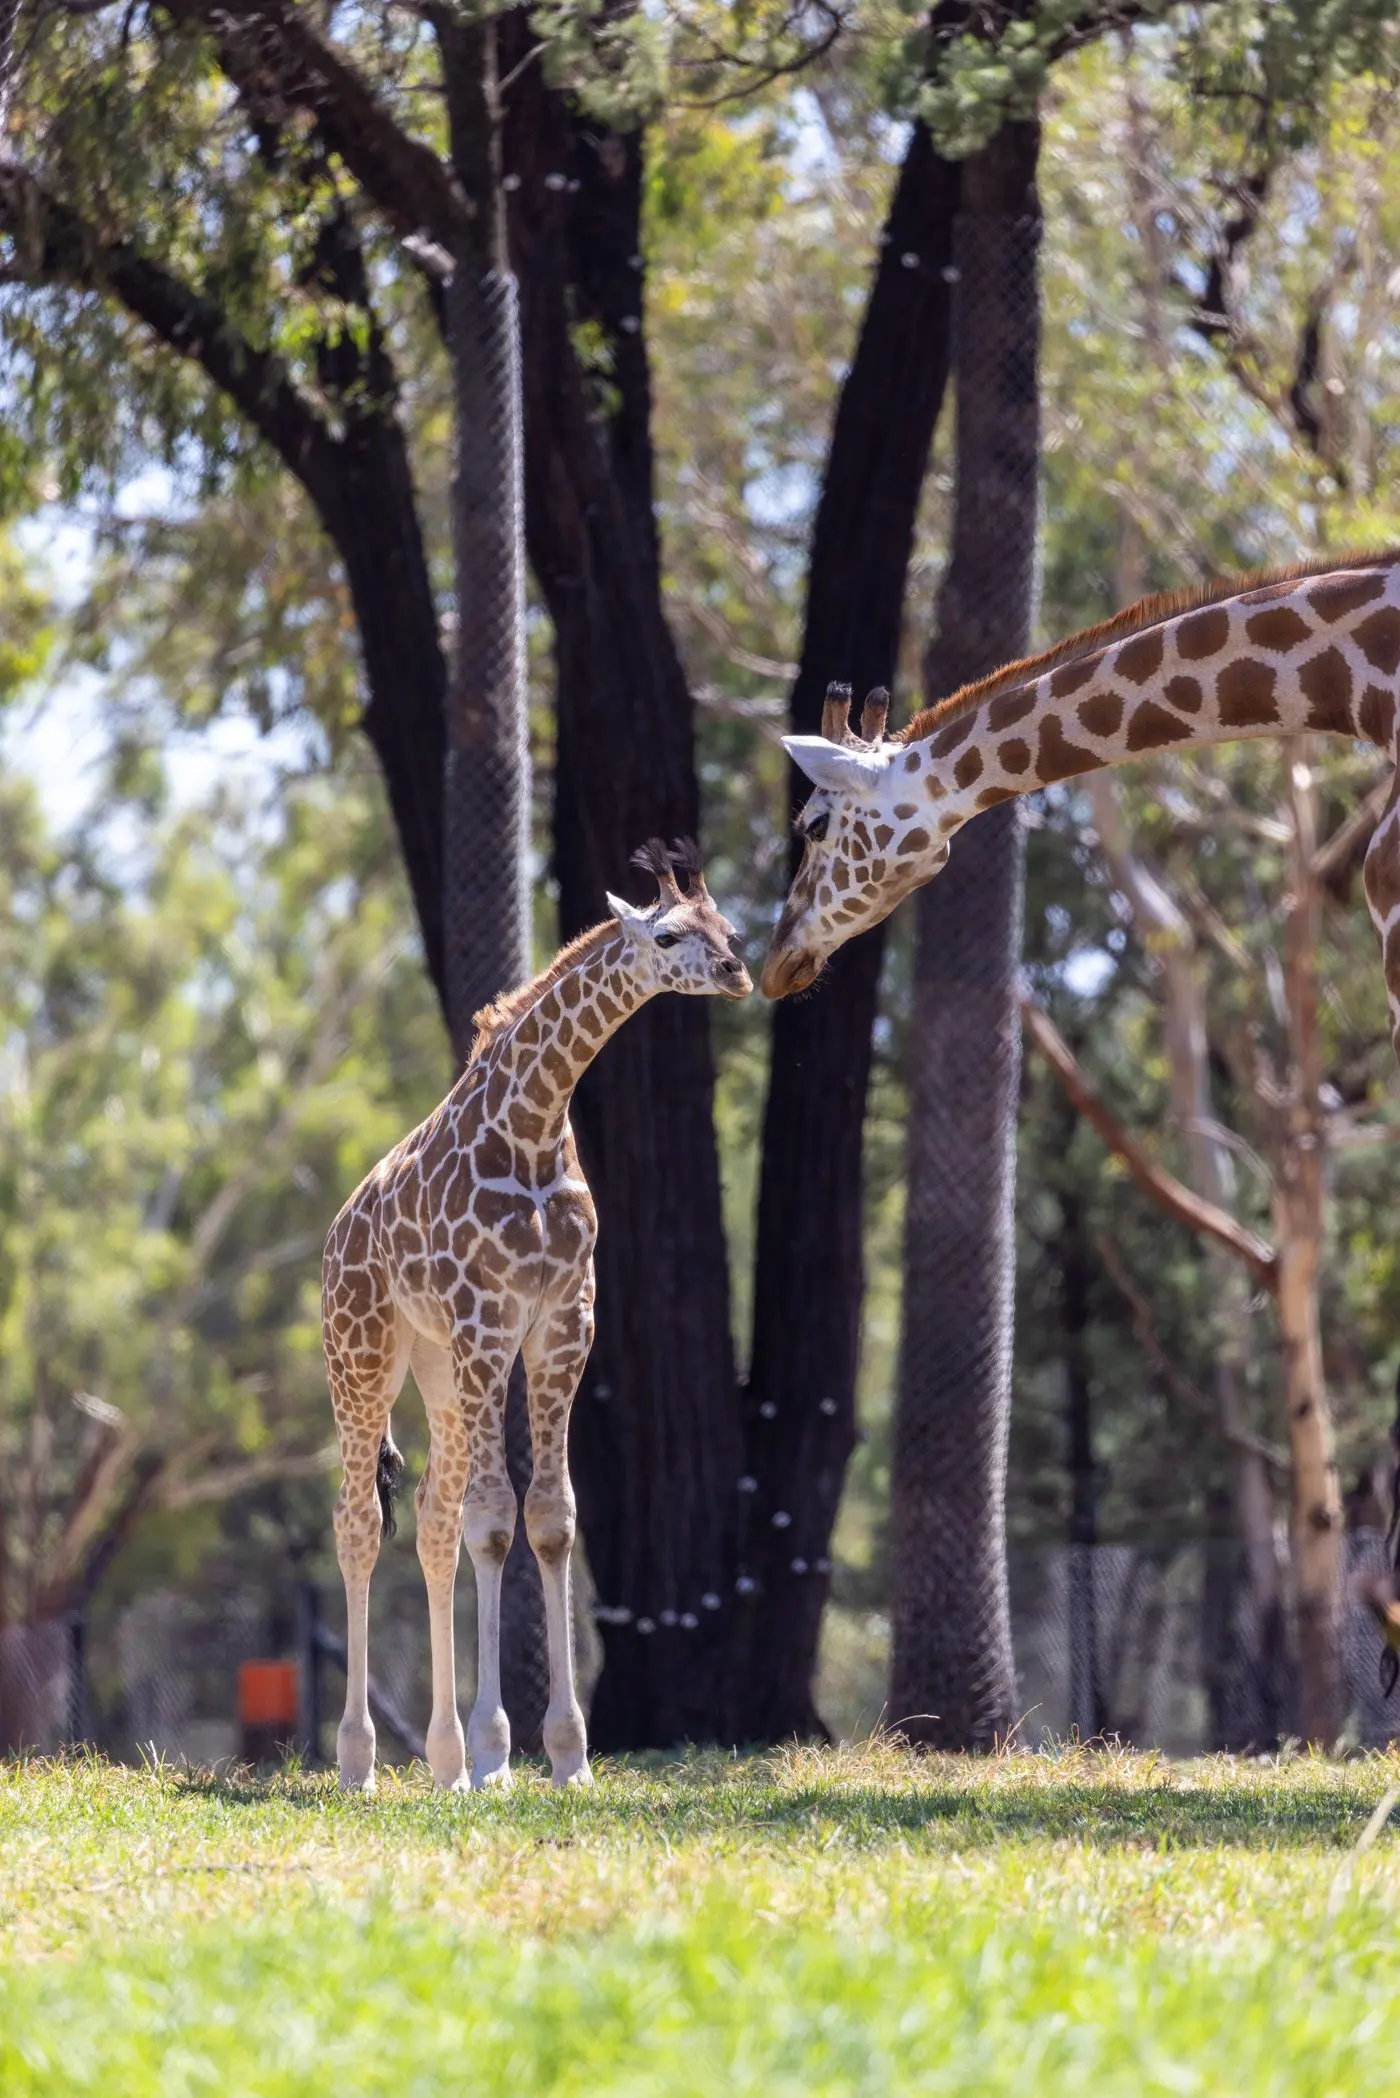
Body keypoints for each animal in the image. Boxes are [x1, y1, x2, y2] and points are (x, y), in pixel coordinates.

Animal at [323, 839, 751, 1794]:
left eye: (730, 930)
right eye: (667, 936)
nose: (740, 974)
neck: (534, 1123)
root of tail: (335, 1236)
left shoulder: (564, 1319)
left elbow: (550, 1521)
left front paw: (565, 1756)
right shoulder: (488, 1318)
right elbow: (494, 1522)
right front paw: (496, 1753)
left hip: (440, 1373)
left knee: (431, 1526)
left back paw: (439, 1763)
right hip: (362, 1355)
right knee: (360, 1525)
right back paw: (361, 1762)